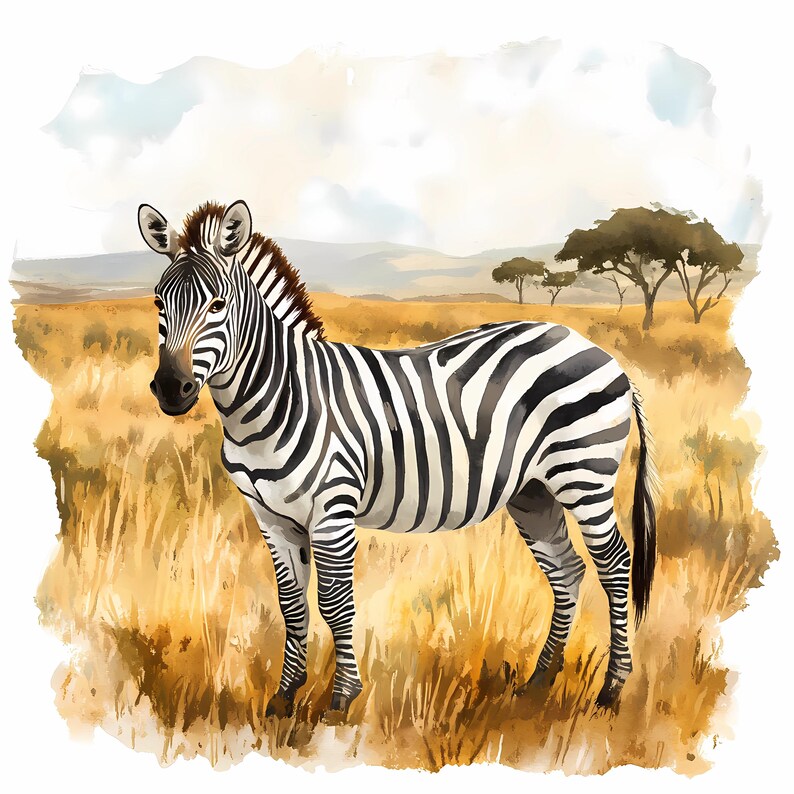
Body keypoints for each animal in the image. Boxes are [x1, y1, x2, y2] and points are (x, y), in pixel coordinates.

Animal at [140, 199, 658, 717]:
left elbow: (335, 603)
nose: (170, 389)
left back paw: (612, 690)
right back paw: (538, 681)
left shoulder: (332, 509)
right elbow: (293, 605)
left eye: (218, 305)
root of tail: (600, 353)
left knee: (614, 564)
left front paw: (342, 700)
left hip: (583, 474)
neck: (277, 399)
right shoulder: (271, 516)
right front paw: (284, 699)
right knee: (566, 569)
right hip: (532, 491)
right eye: (159, 304)